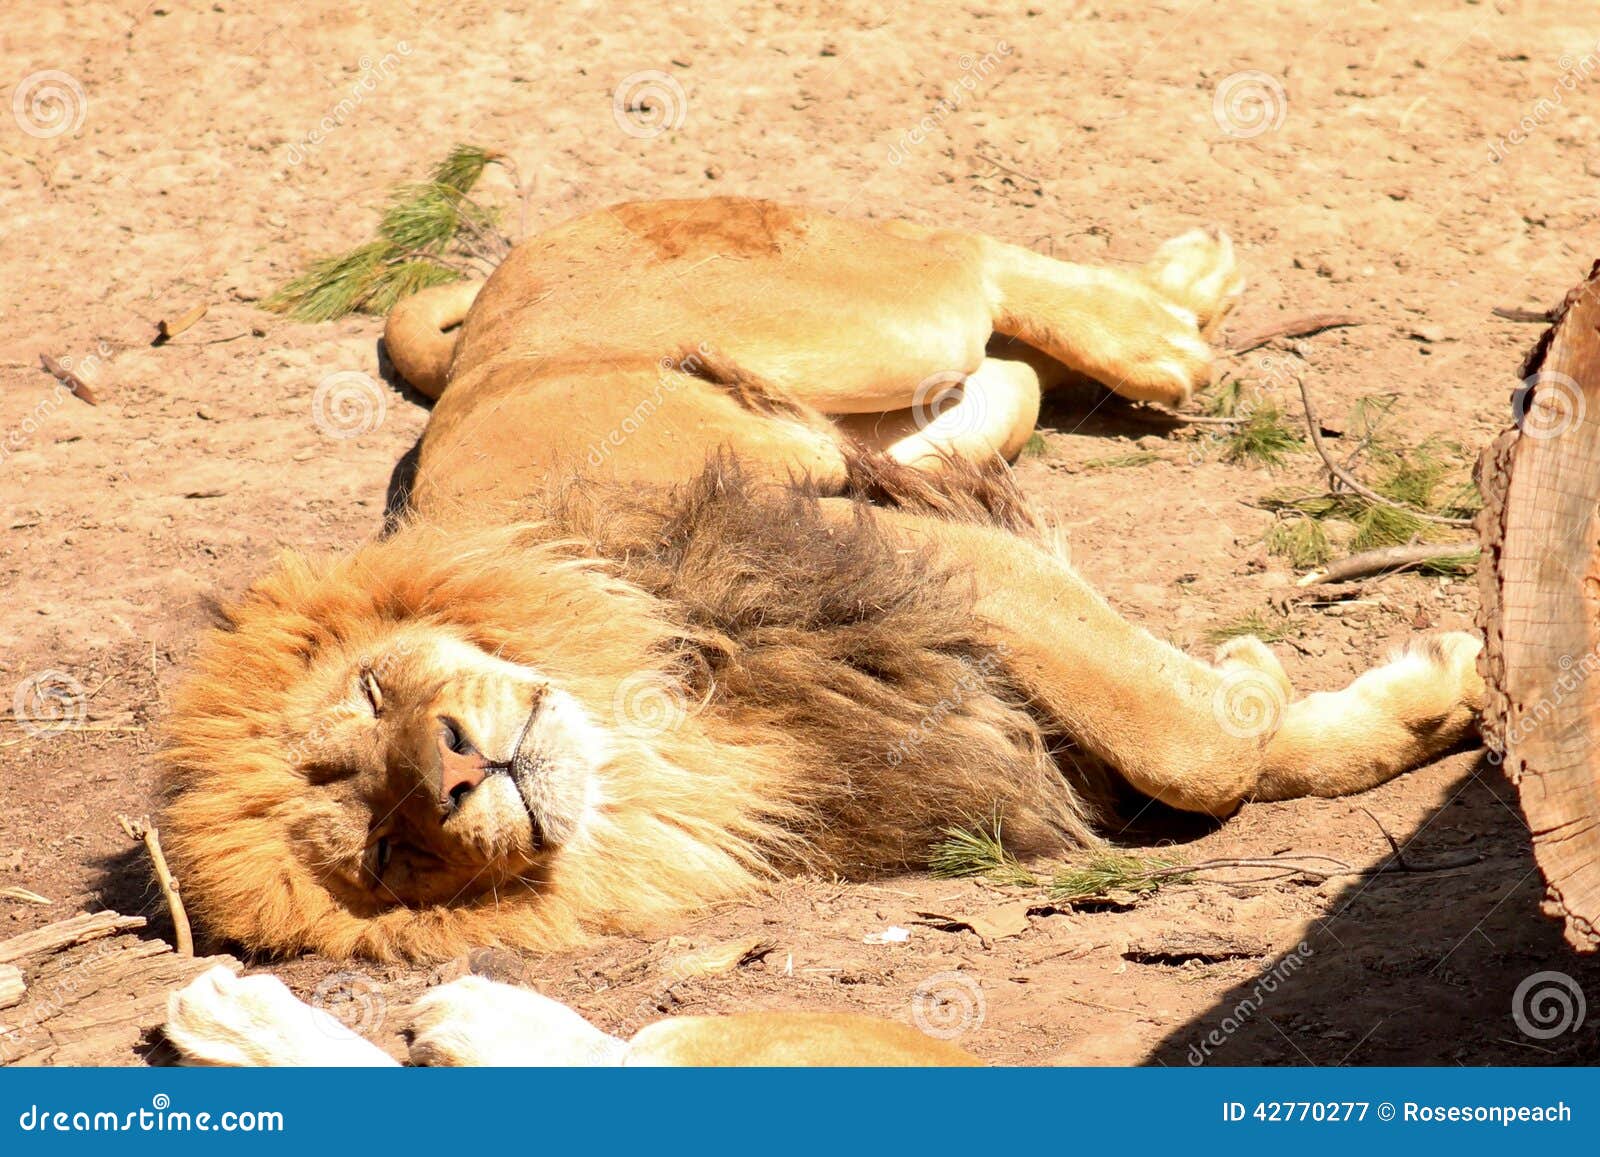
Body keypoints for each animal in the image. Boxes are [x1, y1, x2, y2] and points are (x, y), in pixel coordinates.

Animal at [159, 198, 1484, 964]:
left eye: (375, 692)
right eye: (385, 851)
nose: (454, 771)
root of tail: (490, 301)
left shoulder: (915, 553)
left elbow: (1189, 744)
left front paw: (1270, 679)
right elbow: (1227, 751)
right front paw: (1420, 697)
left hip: (860, 324)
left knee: (967, 262)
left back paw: (1170, 319)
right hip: (910, 409)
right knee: (1003, 377)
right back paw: (1161, 315)